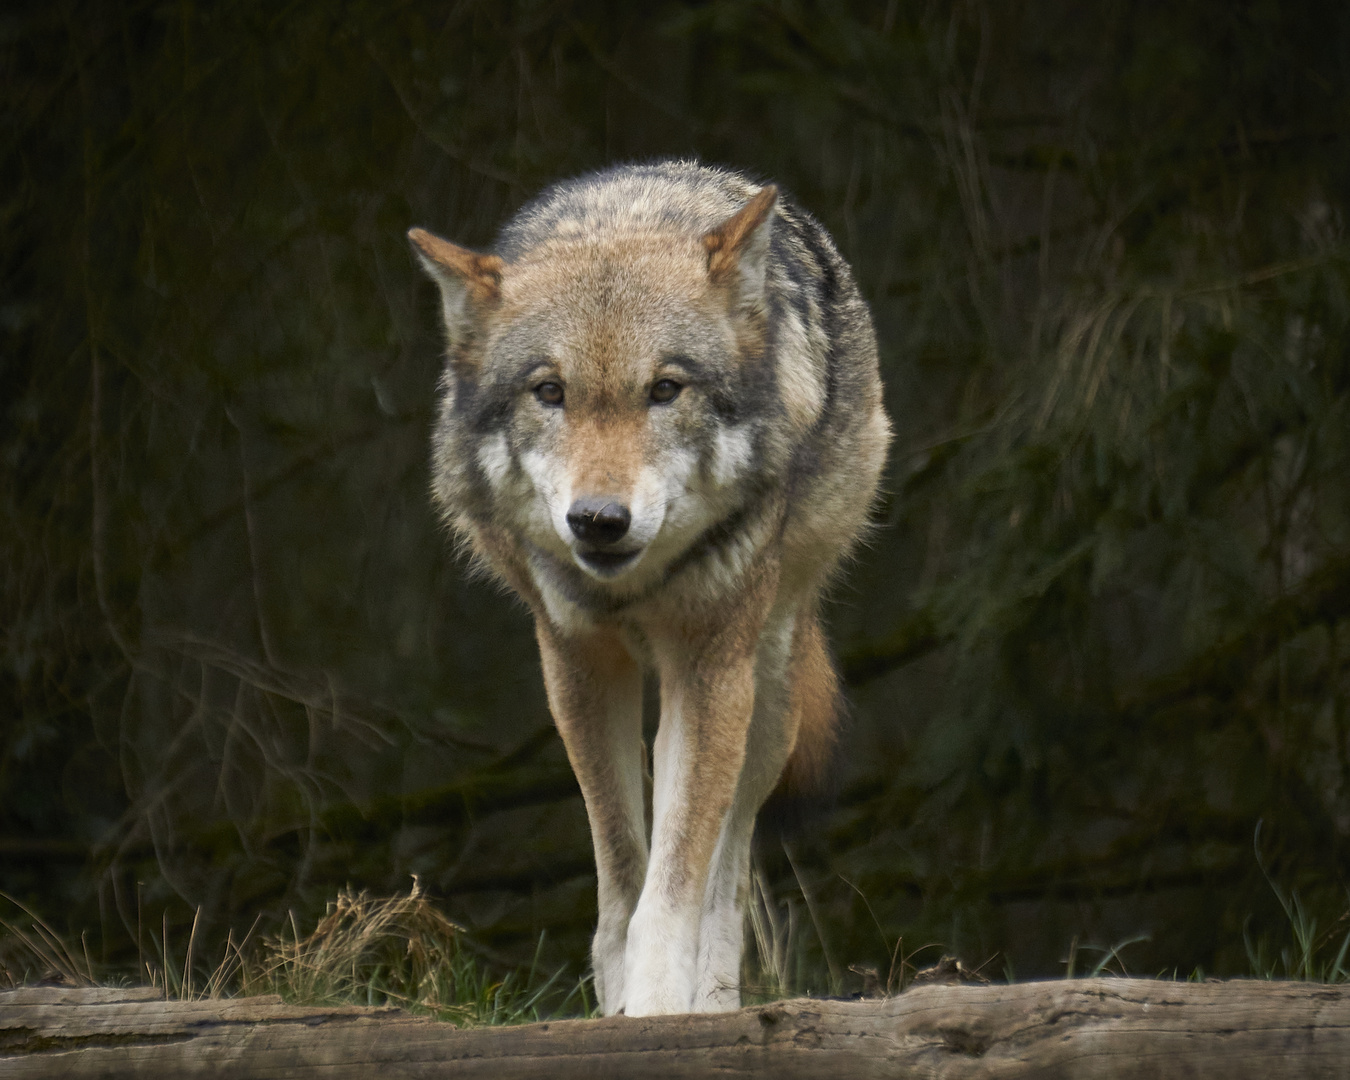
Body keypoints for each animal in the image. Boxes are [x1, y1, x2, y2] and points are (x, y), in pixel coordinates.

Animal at [410, 157, 891, 1015]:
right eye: (550, 392)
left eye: (665, 390)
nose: (598, 520)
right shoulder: (576, 665)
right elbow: (624, 875)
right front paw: (621, 998)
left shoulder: (708, 668)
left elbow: (677, 882)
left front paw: (663, 1003)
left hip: (764, 684)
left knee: (727, 865)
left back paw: (716, 996)